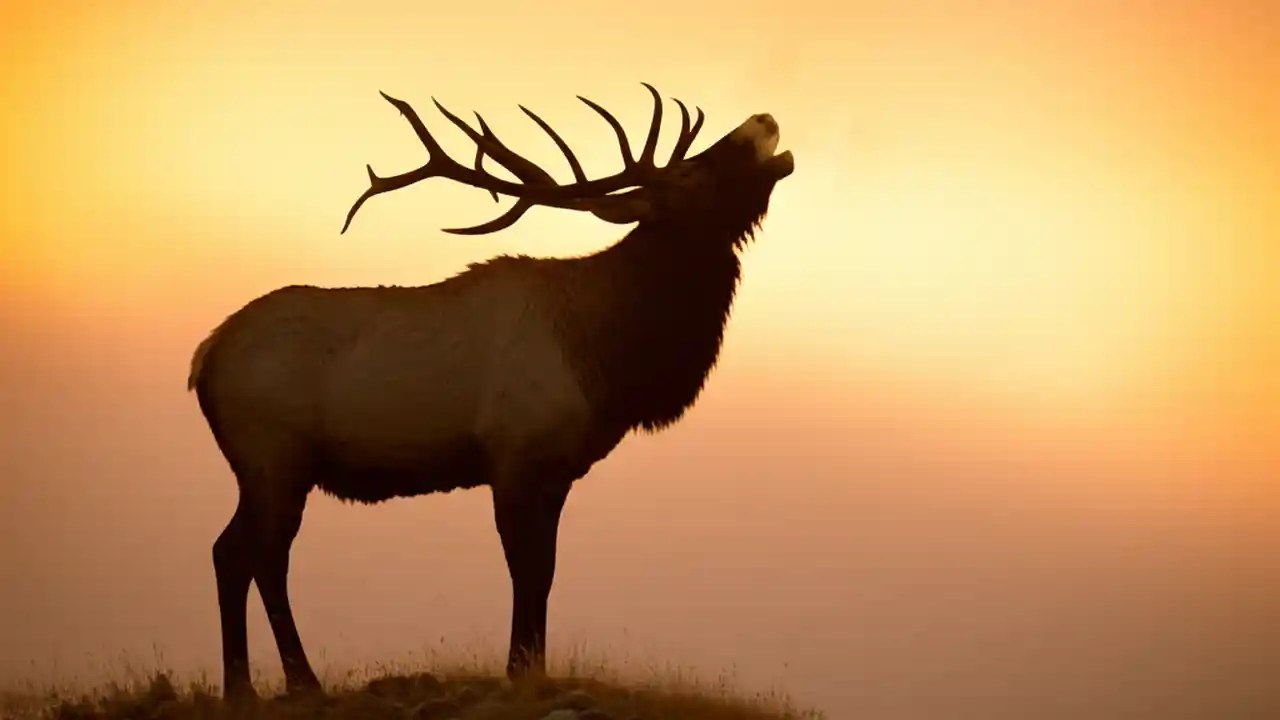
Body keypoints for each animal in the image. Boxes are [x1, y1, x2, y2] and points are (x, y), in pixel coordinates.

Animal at [188, 82, 794, 701]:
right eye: (692, 171)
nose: (764, 119)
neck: (606, 353)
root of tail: (203, 360)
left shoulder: (558, 470)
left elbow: (546, 570)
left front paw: (534, 666)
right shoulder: (514, 454)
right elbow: (524, 566)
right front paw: (518, 668)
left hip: (270, 468)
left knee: (234, 552)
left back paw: (250, 684)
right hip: (273, 457)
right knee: (255, 555)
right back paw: (286, 682)